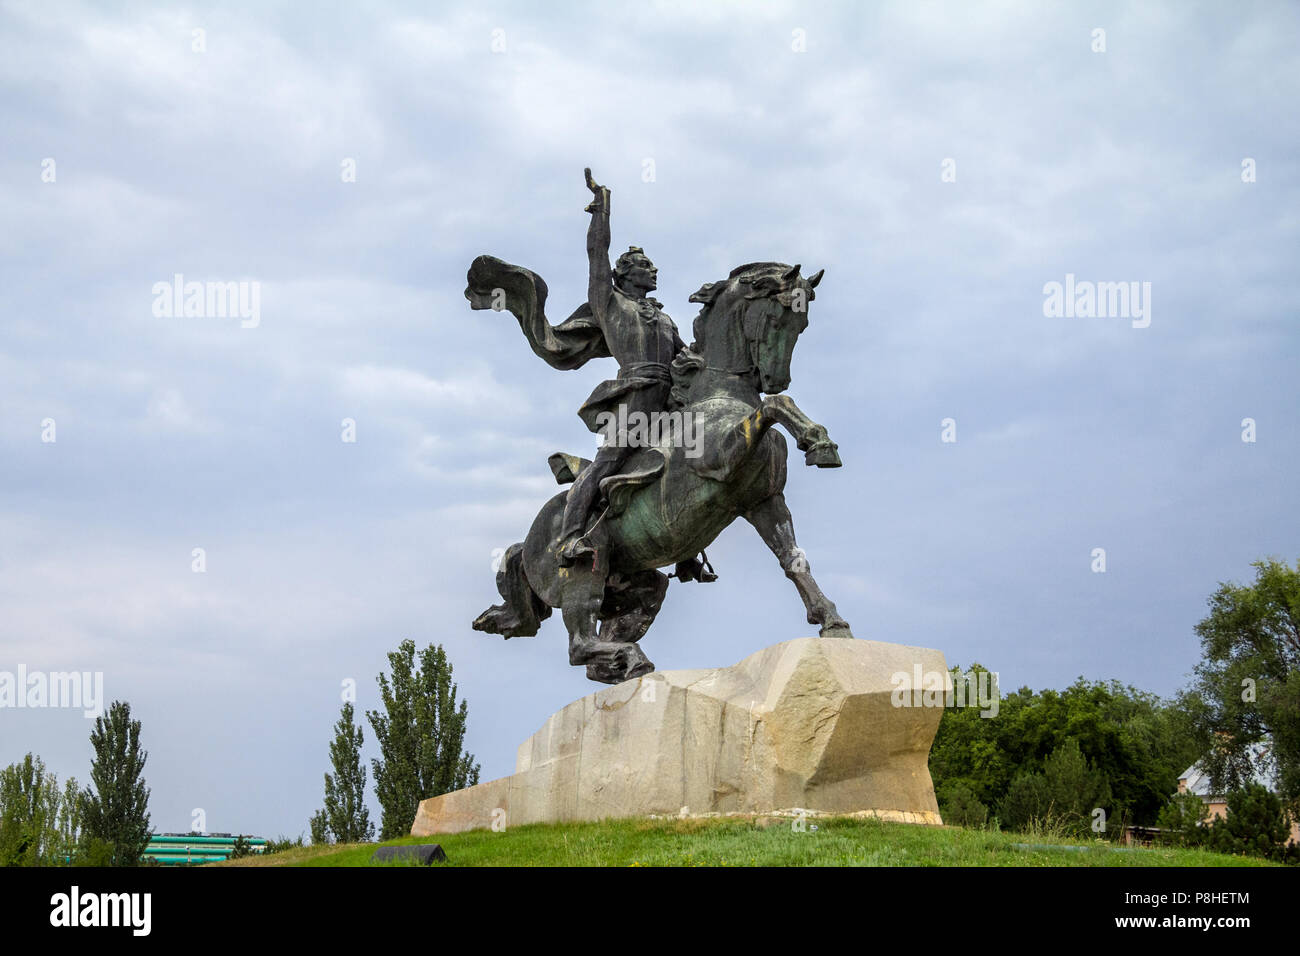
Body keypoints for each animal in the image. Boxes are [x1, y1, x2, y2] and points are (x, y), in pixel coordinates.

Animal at [470, 257, 852, 686]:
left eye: (802, 324)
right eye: (777, 317)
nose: (775, 378)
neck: (720, 396)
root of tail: (528, 542)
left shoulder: (763, 500)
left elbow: (793, 559)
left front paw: (832, 621)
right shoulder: (720, 460)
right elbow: (775, 406)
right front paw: (819, 443)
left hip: (638, 584)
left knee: (602, 646)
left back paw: (627, 667)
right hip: (583, 575)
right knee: (579, 643)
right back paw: (630, 652)